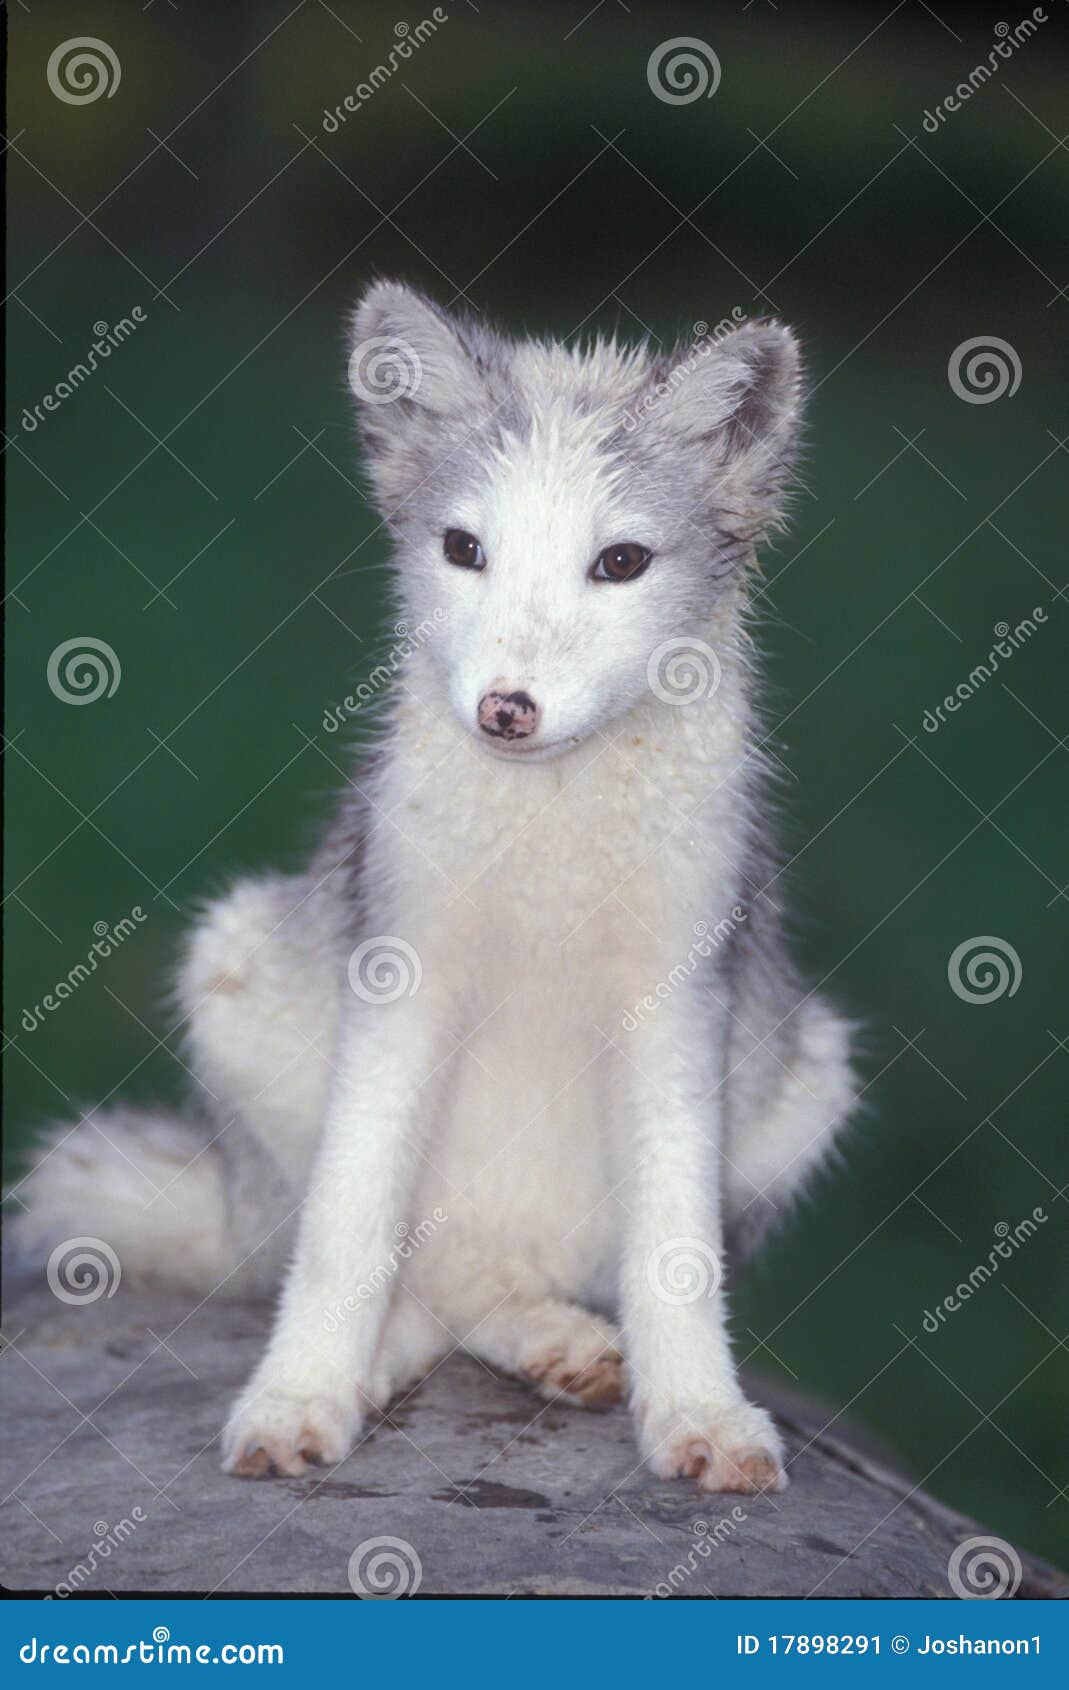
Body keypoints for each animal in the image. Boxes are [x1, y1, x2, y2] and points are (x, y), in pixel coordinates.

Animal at [10, 281, 856, 1494]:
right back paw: (372, 1367)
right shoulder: (400, 986)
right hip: (232, 967)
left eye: (620, 563)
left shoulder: (677, 1009)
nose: (506, 709)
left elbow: (677, 1257)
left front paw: (701, 1414)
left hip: (811, 1072)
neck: (549, 838)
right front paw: (299, 1395)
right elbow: (347, 1229)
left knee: (494, 1296)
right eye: (465, 549)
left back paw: (558, 1342)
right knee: (374, 1272)